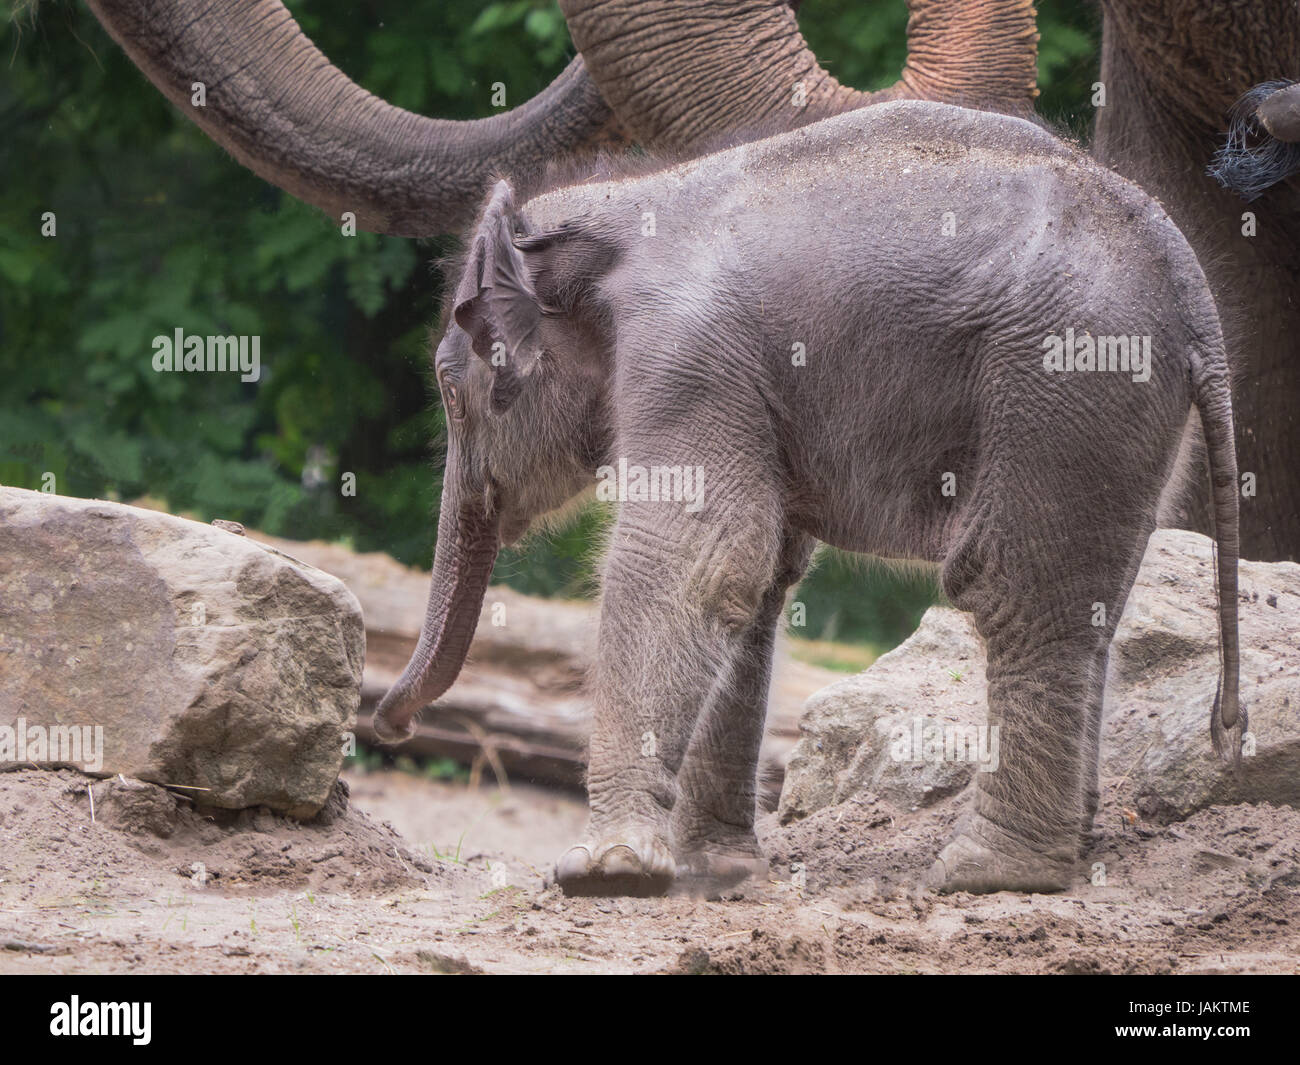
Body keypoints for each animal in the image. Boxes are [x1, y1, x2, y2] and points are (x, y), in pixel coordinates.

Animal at [370, 99, 1243, 897]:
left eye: (453, 390)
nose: (389, 723)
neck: (619, 198)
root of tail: (1195, 292)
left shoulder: (685, 358)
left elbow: (694, 555)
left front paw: (604, 872)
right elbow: (756, 576)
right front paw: (714, 873)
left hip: (1064, 381)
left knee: (1017, 592)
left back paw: (984, 873)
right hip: (1118, 414)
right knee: (1088, 604)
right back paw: (1062, 853)